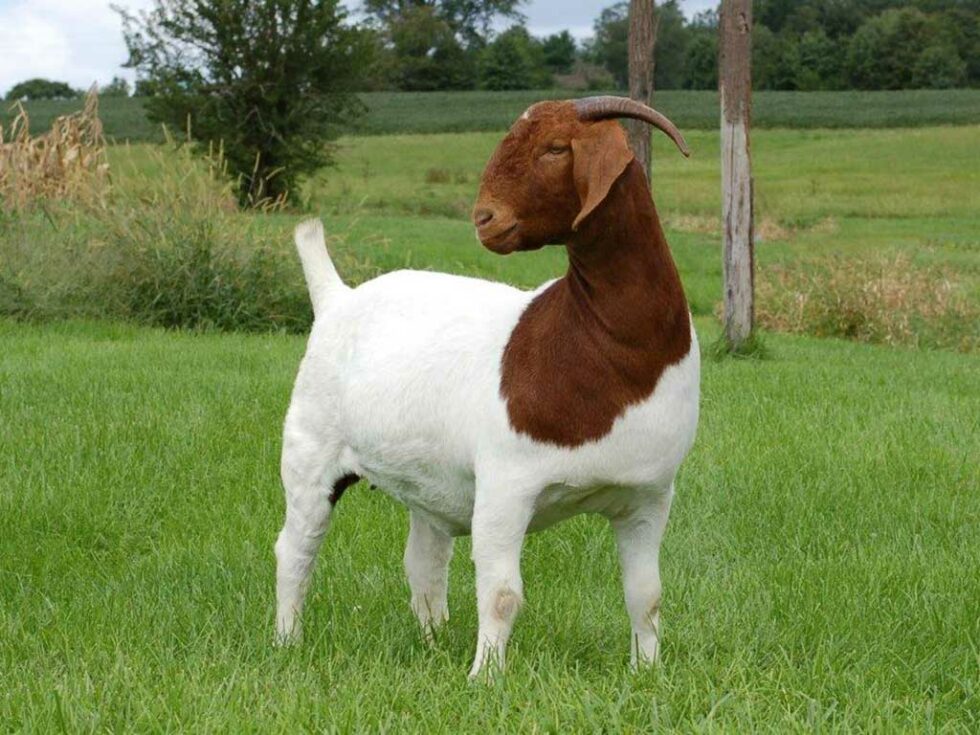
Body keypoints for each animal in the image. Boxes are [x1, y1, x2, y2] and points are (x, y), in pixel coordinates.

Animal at [276, 96, 700, 678]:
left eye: (555, 147)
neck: (609, 352)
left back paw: (432, 645)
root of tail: (337, 297)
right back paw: (287, 642)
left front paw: (648, 673)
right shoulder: (505, 486)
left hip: (427, 481)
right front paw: (486, 678)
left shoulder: (649, 496)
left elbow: (647, 594)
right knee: (296, 549)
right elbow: (501, 594)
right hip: (309, 452)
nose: (484, 218)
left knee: (424, 563)